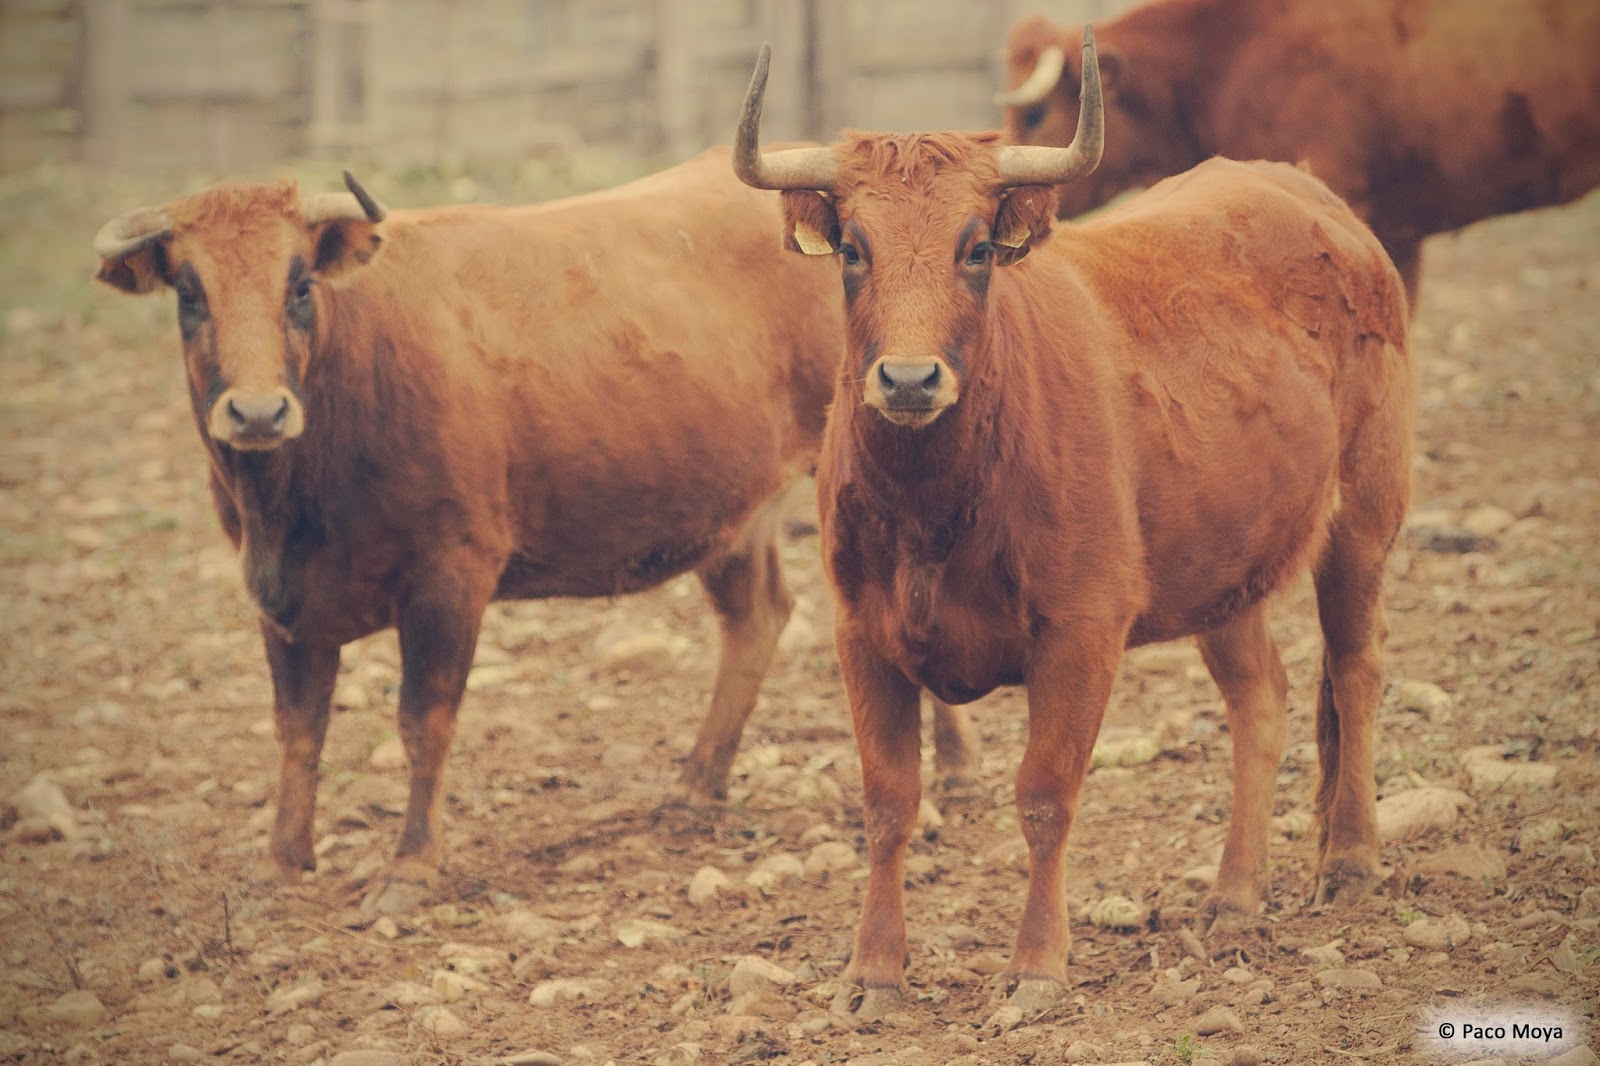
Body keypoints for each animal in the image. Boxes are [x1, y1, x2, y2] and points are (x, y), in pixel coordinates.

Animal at [92, 150, 980, 907]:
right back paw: (696, 784)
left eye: (300, 285)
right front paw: (282, 860)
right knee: (756, 617)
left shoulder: (450, 577)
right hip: (734, 511)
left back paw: (955, 770)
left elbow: (423, 720)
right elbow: (297, 729)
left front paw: (411, 867)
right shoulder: (278, 597)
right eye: (189, 294)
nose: (256, 412)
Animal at [733, 32, 1414, 1017]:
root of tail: (1312, 201)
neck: (936, 510)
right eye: (853, 250)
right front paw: (874, 972)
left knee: (1355, 667)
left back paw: (1351, 860)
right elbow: (890, 803)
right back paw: (1235, 897)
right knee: (1262, 698)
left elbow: (1045, 795)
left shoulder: (1083, 629)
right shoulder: (863, 633)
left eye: (977, 248)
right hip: (1225, 572)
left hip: (1365, 514)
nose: (908, 380)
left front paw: (1036, 966)